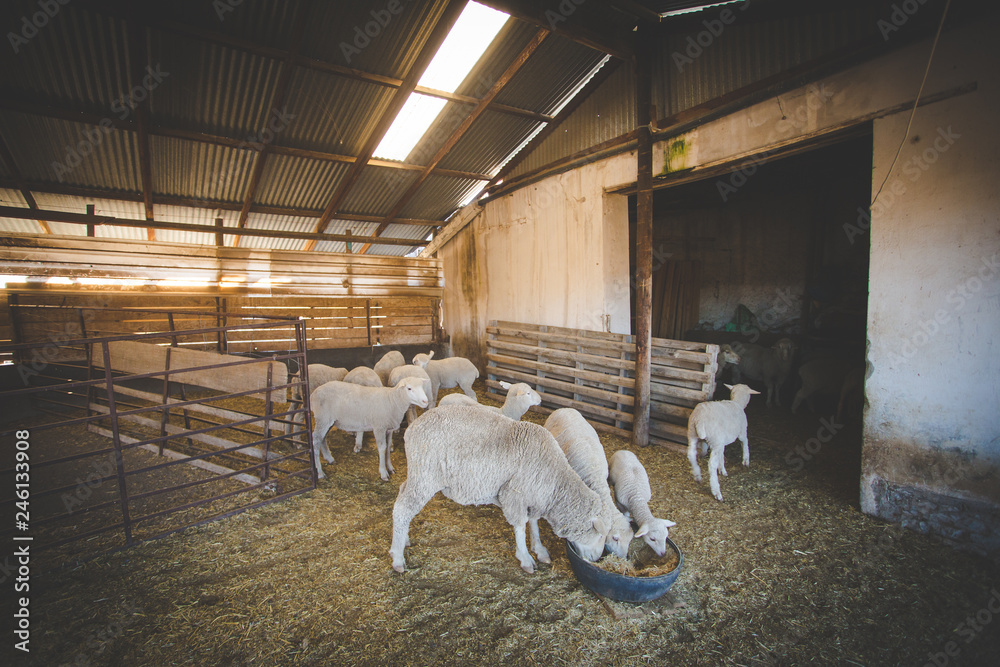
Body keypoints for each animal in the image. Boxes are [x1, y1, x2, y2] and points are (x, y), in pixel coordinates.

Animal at [390, 404, 608, 574]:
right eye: (599, 536)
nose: (597, 559)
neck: (555, 483)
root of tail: (413, 427)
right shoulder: (514, 495)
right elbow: (520, 526)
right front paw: (526, 558)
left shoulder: (533, 495)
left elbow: (534, 524)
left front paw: (539, 549)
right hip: (425, 476)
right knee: (402, 509)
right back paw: (397, 558)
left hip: (418, 475)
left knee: (401, 494)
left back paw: (404, 539)